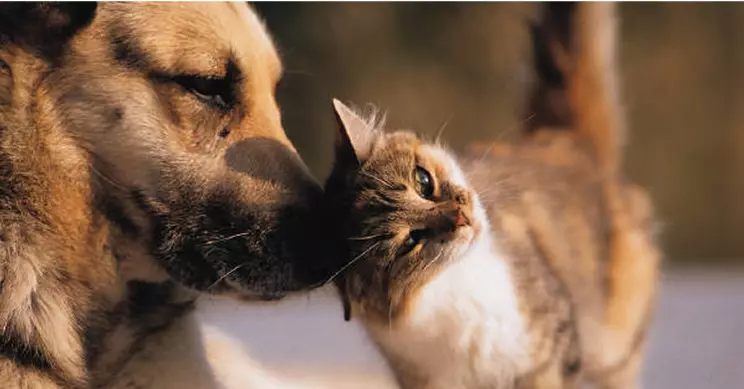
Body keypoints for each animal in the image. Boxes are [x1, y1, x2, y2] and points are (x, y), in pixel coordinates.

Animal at [322, 3, 660, 388]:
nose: (461, 216)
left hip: (613, 352)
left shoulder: (552, 356)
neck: (458, 288)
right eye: (410, 242)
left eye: (423, 182)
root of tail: (565, 142)